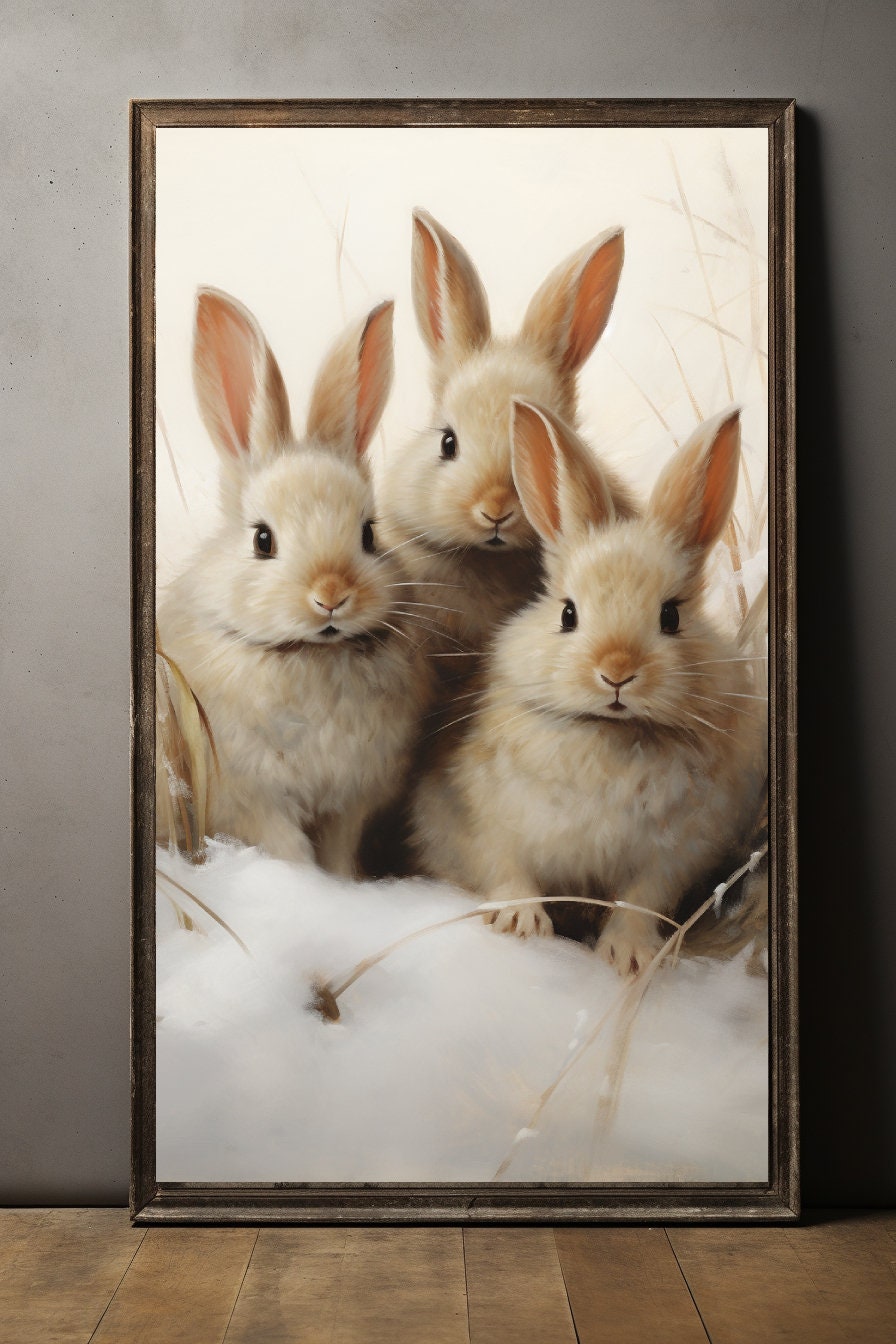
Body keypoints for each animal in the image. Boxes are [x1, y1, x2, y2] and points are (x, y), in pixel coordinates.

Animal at [156, 288, 433, 876]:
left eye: (369, 534)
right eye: (263, 540)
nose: (331, 596)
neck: (312, 655)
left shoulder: (351, 803)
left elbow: (338, 855)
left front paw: (344, 888)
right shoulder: (252, 800)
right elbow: (289, 852)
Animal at [412, 401, 767, 976]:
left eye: (671, 616)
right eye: (568, 614)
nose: (616, 671)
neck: (610, 733)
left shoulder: (675, 853)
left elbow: (639, 900)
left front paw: (632, 957)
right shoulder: (480, 818)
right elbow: (504, 869)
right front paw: (522, 924)